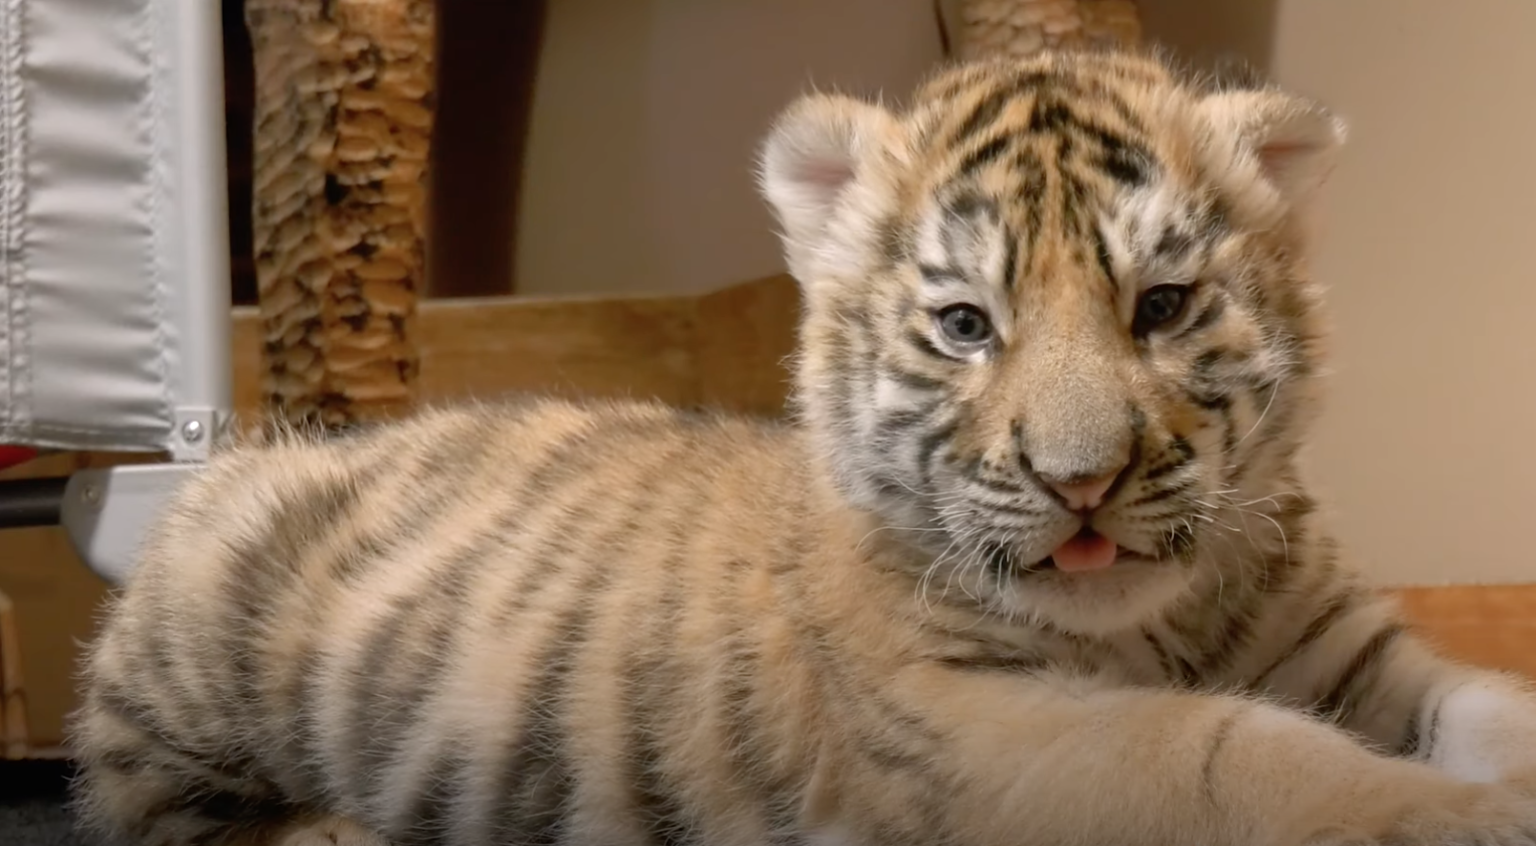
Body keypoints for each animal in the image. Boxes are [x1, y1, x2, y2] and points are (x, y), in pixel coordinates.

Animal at [68, 45, 1536, 846]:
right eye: (965, 325)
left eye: (1162, 307)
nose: (1081, 484)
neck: (1160, 619)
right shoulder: (975, 729)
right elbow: (1229, 751)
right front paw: (1456, 817)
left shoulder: (1352, 650)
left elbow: (1482, 701)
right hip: (194, 654)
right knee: (146, 808)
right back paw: (334, 829)